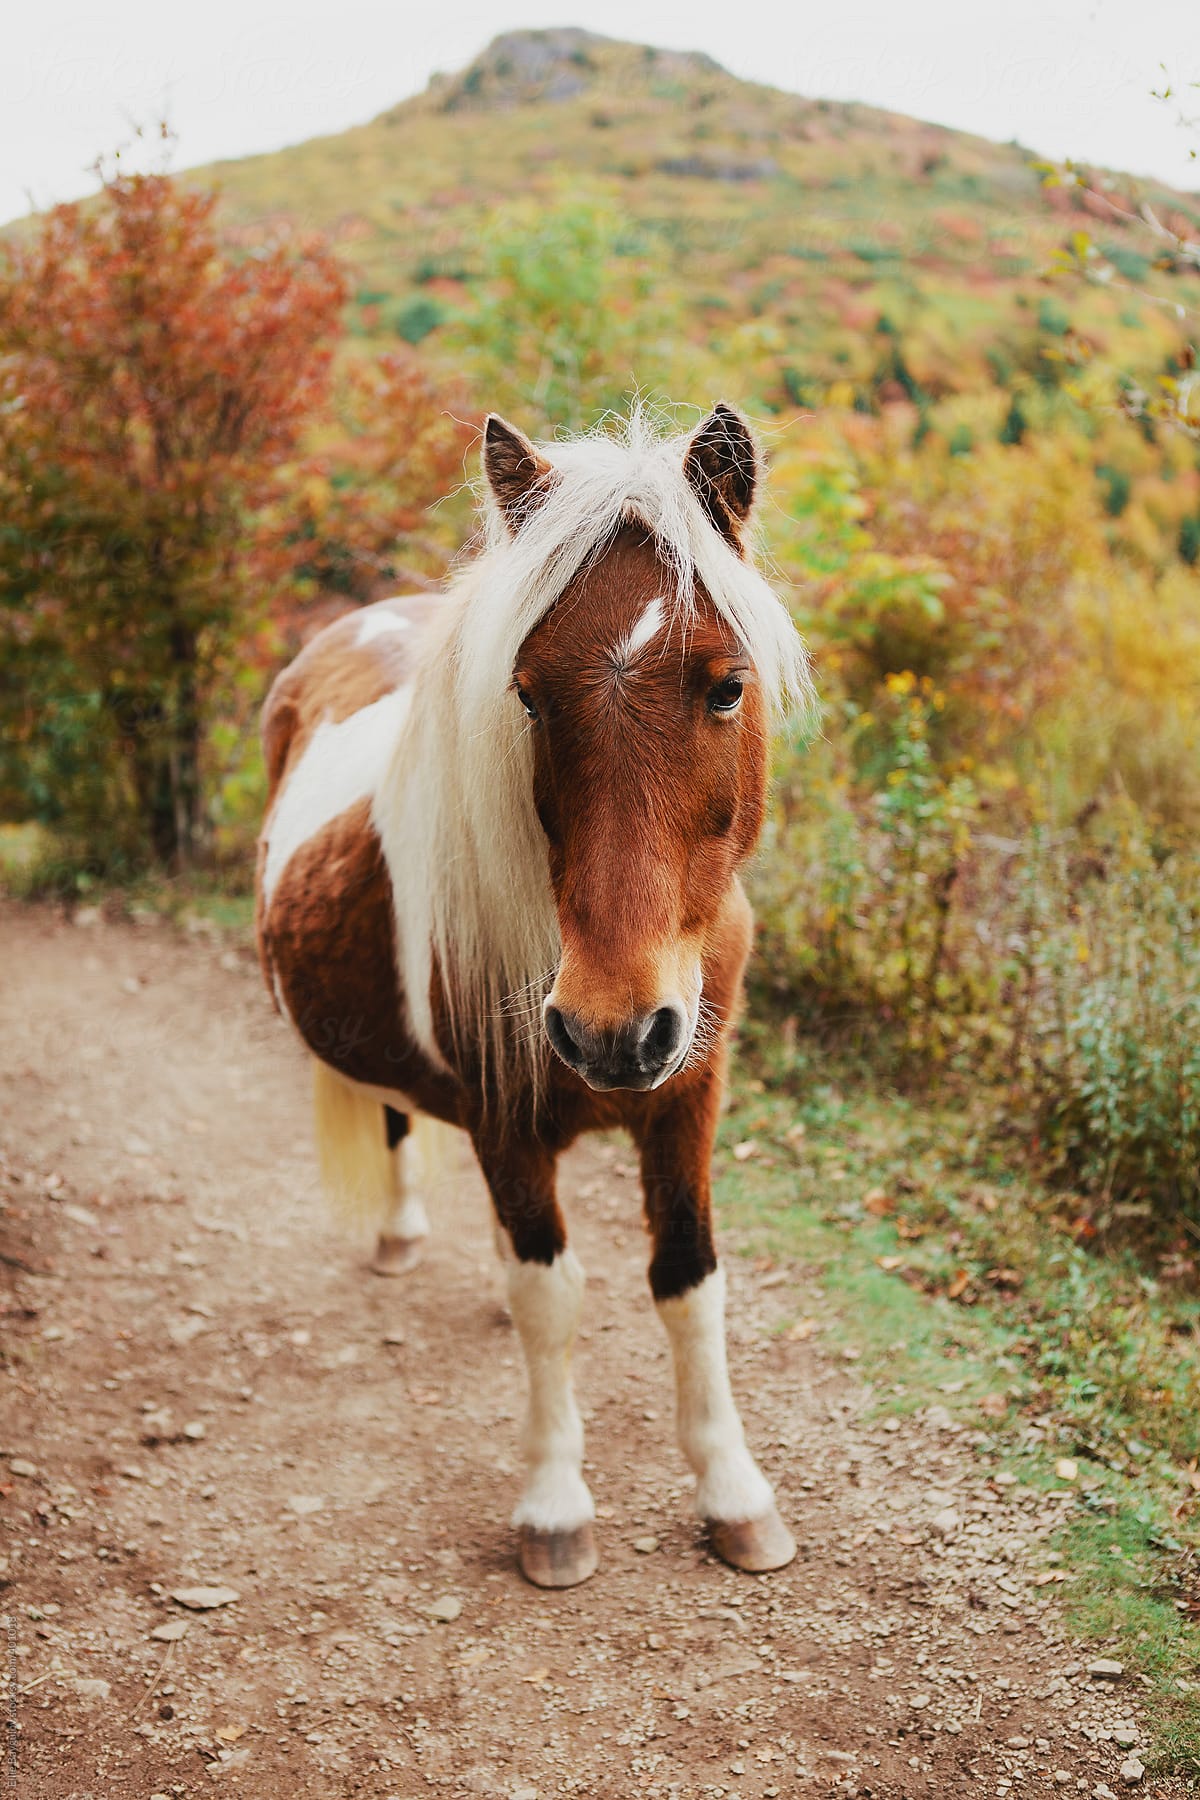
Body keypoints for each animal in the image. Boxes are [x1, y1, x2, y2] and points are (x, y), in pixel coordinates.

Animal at [255, 403, 813, 1588]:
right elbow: (552, 1298)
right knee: (400, 1124)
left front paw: (735, 1496)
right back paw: (403, 1234)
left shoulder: (691, 1101)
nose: (611, 1032)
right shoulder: (507, 1118)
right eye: (526, 695)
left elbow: (690, 1284)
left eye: (726, 685)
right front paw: (555, 1507)